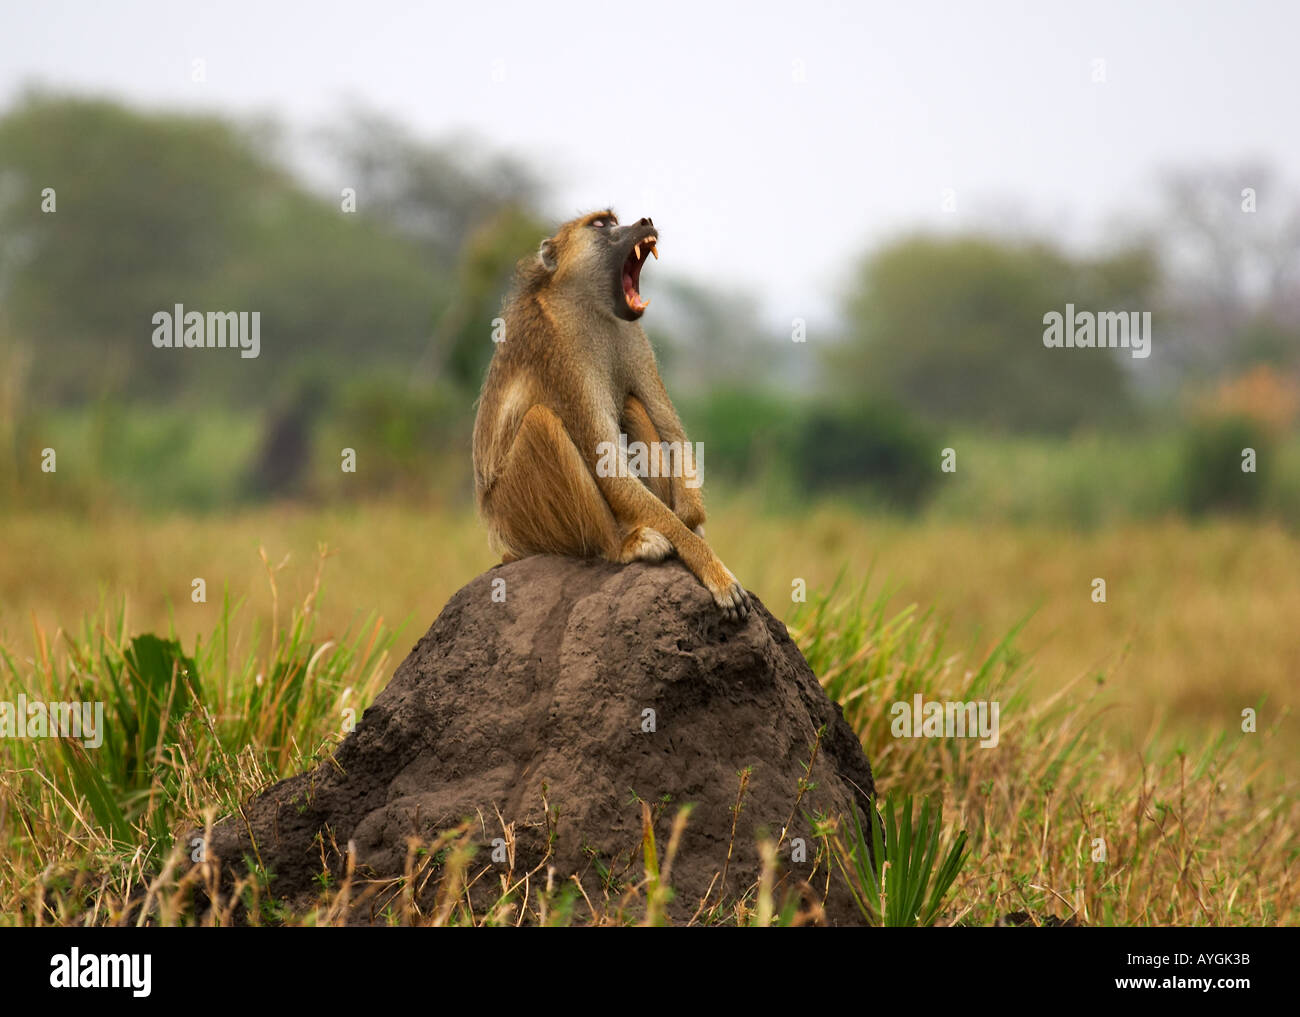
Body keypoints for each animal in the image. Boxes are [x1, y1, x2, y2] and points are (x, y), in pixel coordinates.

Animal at [471, 210, 751, 621]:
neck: (588, 306)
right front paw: (710, 567)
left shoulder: (631, 336)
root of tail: (500, 536)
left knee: (633, 404)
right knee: (541, 423)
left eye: (615, 220)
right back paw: (620, 545)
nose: (644, 220)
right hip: (520, 517)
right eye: (602, 225)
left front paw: (692, 521)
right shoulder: (561, 352)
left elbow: (673, 434)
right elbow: (610, 468)